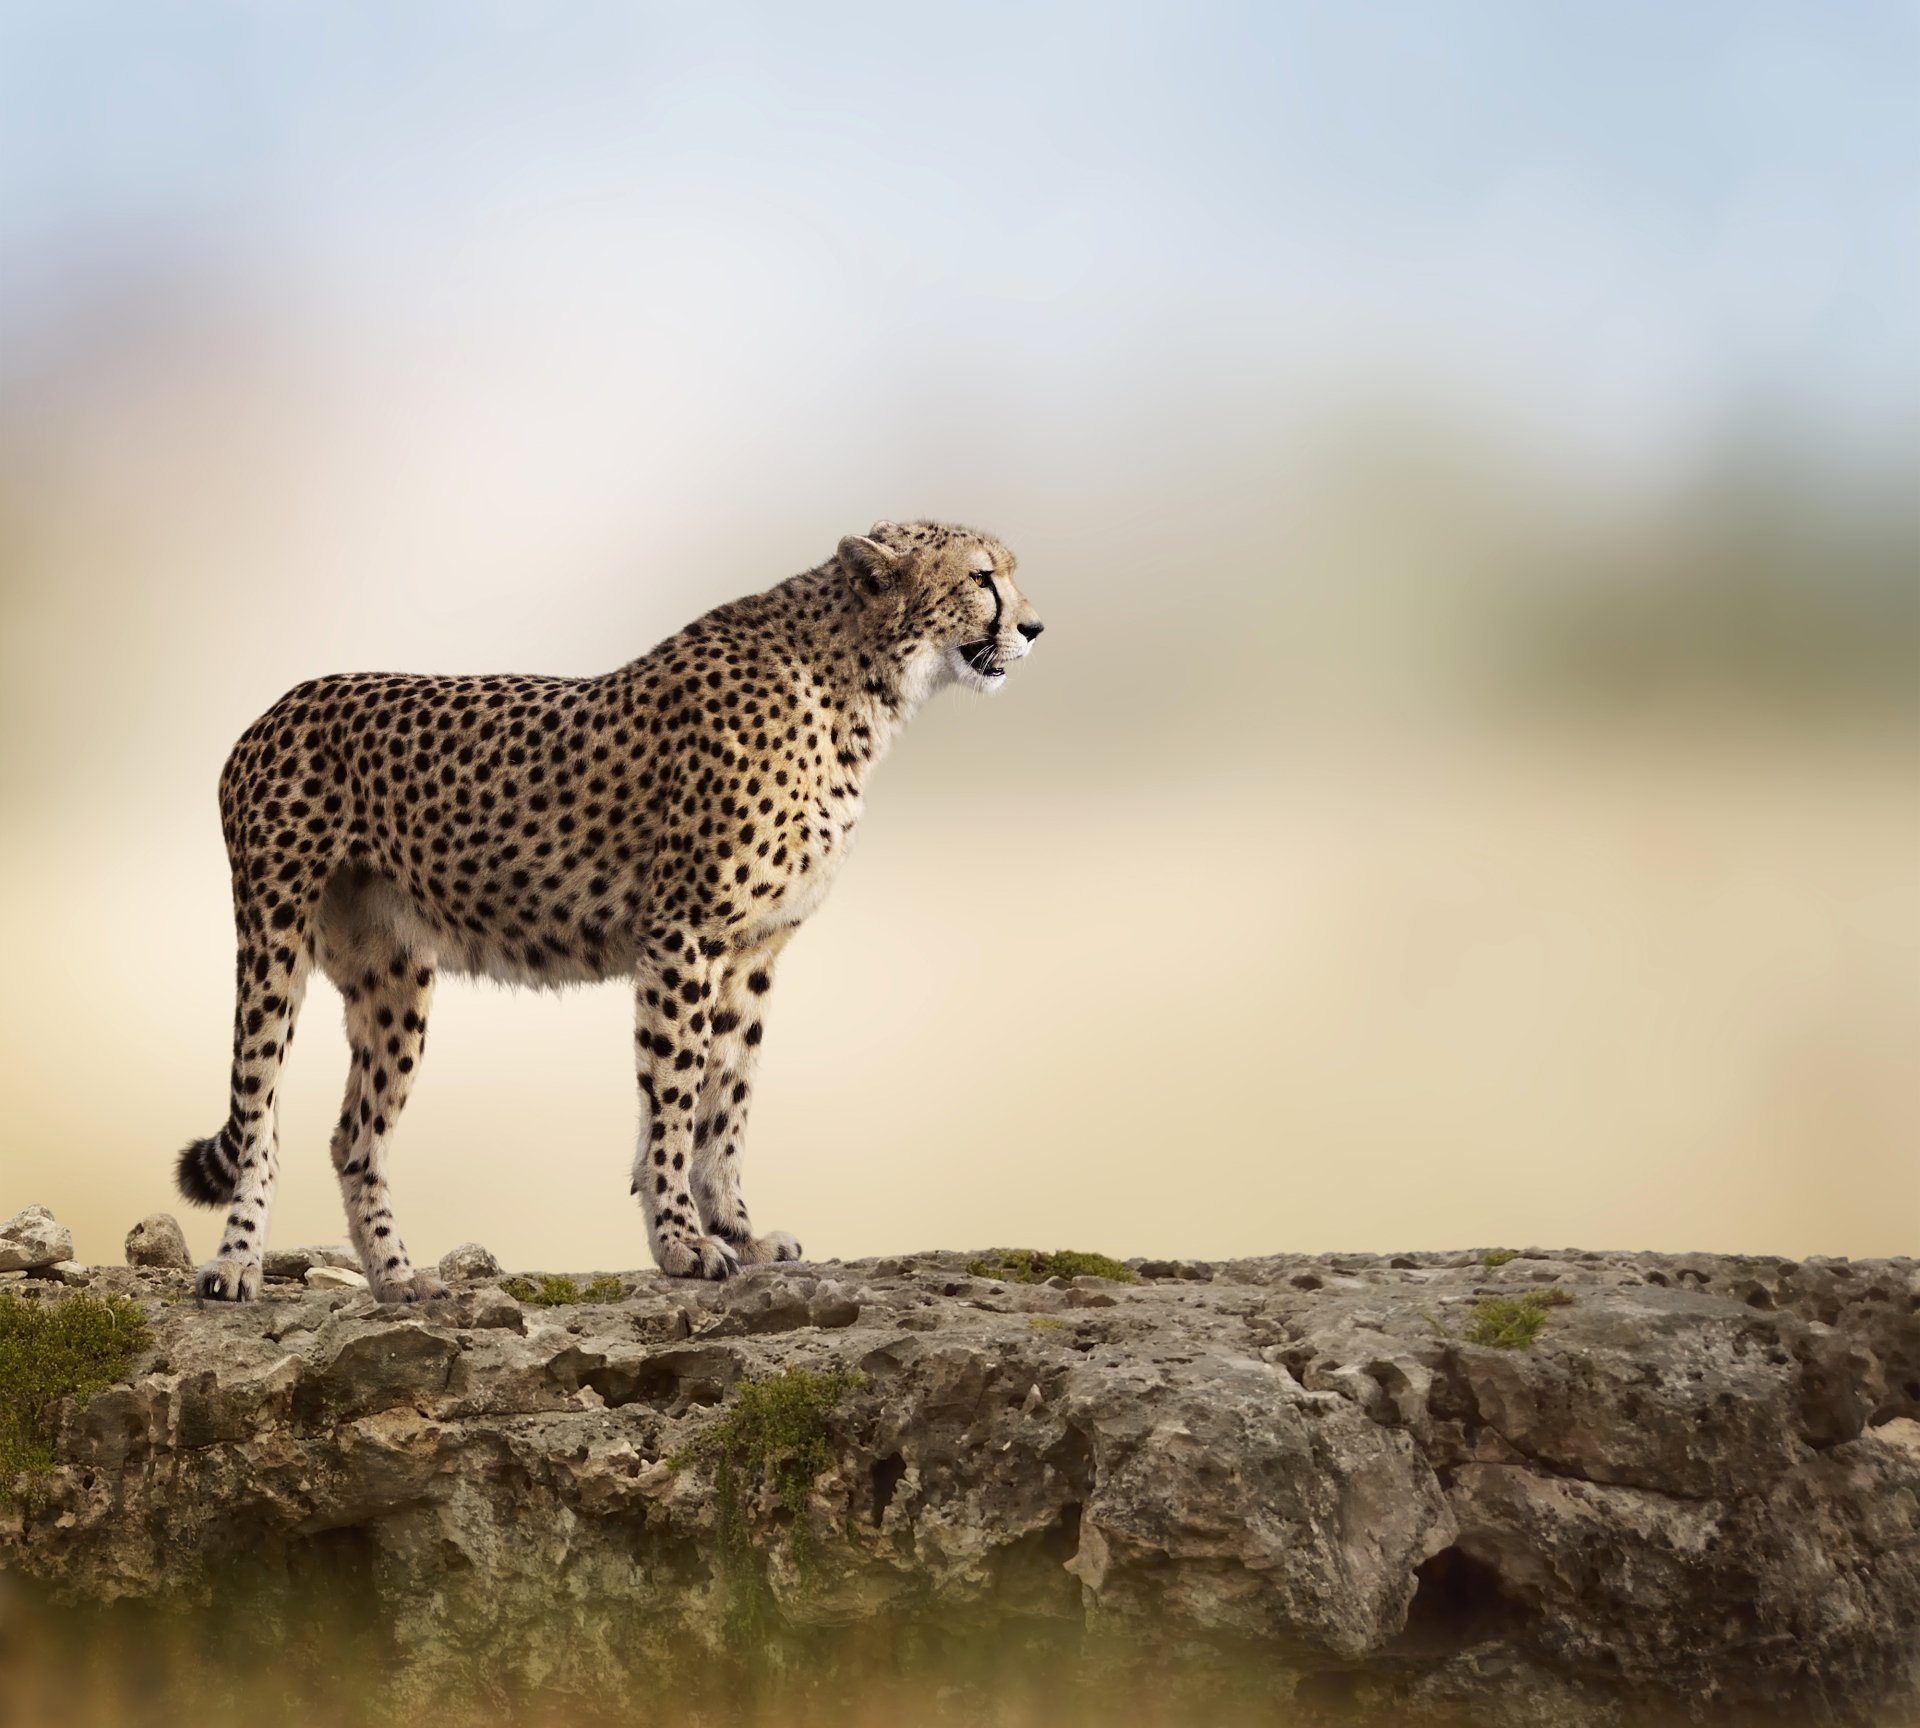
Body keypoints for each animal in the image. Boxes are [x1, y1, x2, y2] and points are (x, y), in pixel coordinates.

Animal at [173, 520, 1043, 1301]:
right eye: (981, 578)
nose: (1034, 627)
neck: (858, 683)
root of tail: (278, 707)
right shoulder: (684, 935)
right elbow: (675, 1098)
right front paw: (682, 1244)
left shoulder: (753, 952)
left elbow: (728, 1101)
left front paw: (739, 1232)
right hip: (274, 938)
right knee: (258, 1115)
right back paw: (237, 1265)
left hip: (394, 976)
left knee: (355, 1136)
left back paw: (397, 1278)